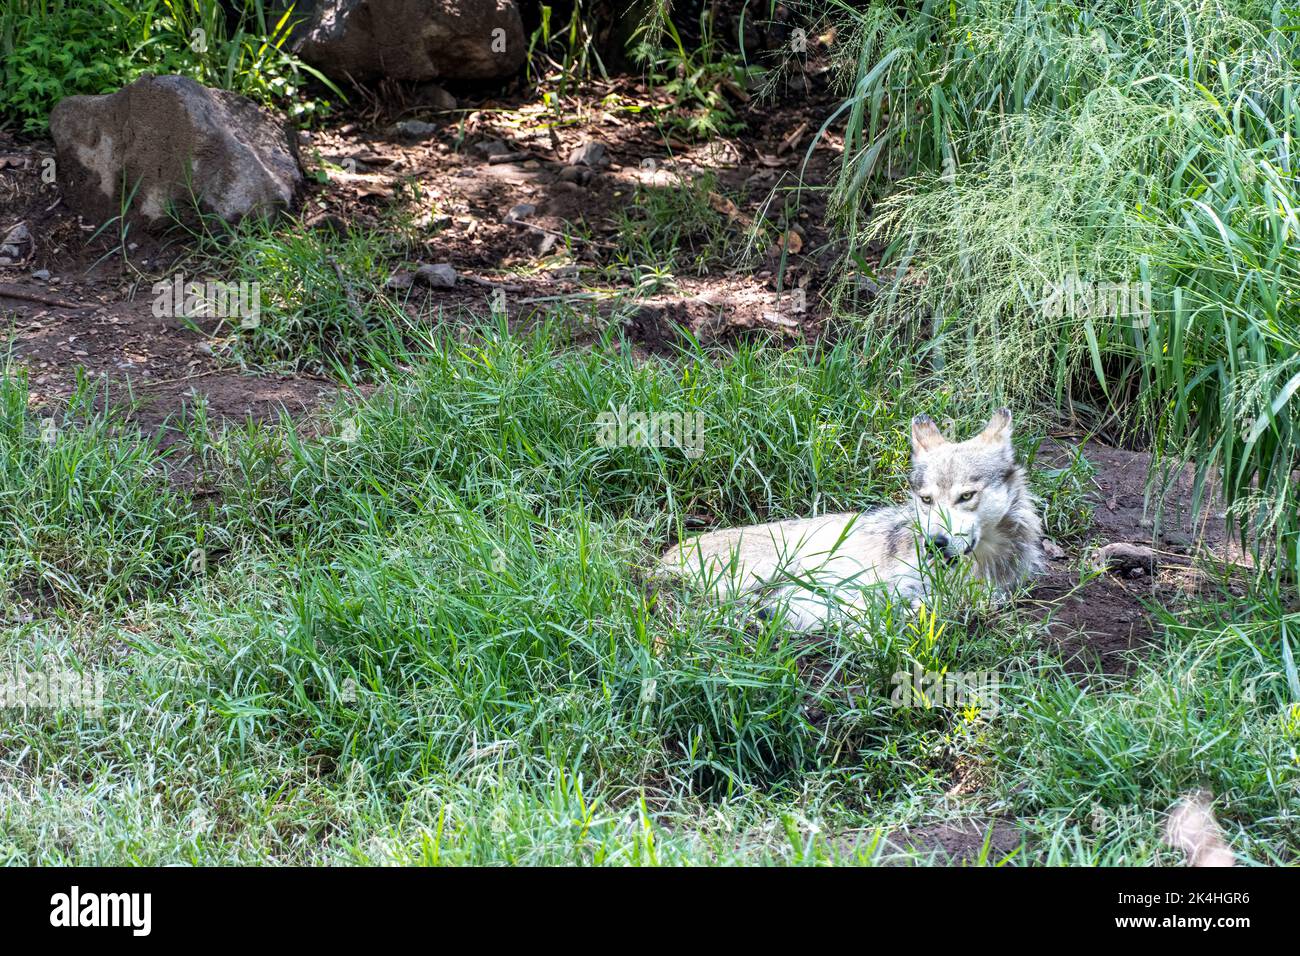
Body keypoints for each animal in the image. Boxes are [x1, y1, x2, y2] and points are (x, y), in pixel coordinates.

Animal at [658, 409, 1044, 631]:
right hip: (774, 568)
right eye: (927, 500)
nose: (934, 543)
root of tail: (662, 559)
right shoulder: (884, 586)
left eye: (966, 496)